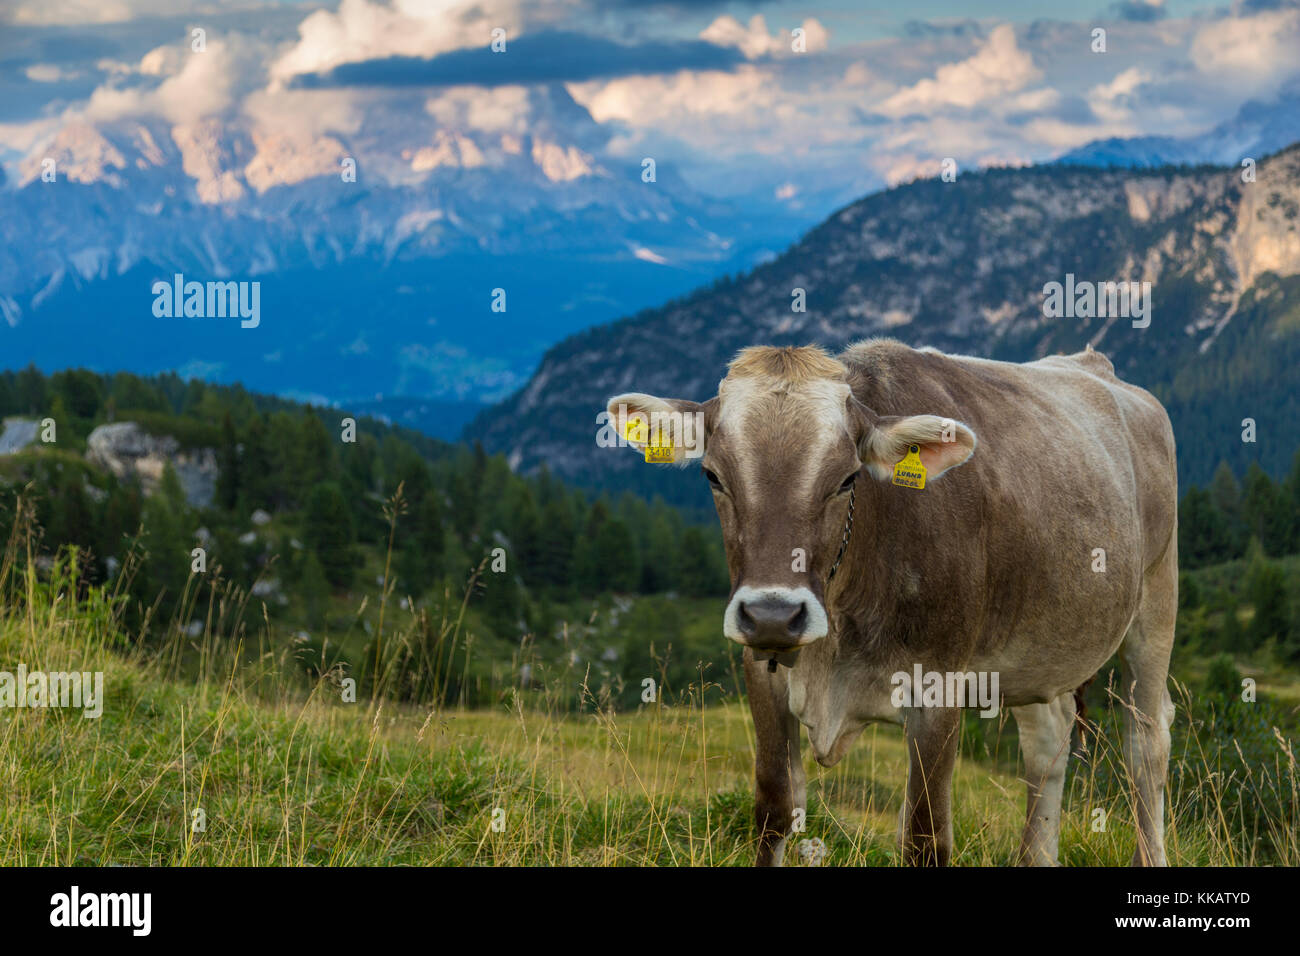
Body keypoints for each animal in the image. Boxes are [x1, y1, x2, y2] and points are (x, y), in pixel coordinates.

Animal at [605, 338, 1177, 867]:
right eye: (713, 476)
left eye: (847, 478)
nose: (773, 616)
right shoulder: (760, 670)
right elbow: (774, 809)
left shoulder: (940, 685)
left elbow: (925, 835)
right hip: (1038, 648)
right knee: (1047, 741)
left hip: (1156, 598)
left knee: (1146, 744)